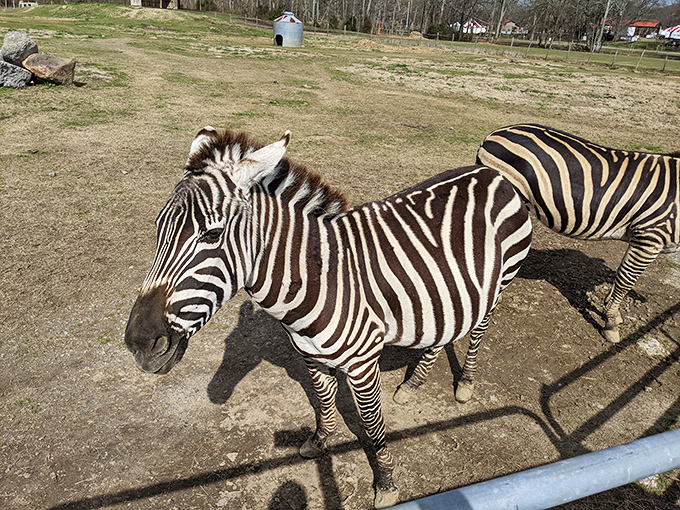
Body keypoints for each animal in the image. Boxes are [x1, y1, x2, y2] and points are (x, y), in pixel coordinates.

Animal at [124, 127, 532, 508]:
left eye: (212, 234)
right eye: (158, 228)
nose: (139, 343)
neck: (318, 280)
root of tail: (491, 173)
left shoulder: (363, 363)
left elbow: (372, 424)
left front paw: (386, 483)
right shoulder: (309, 355)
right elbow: (323, 401)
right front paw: (320, 441)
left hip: (500, 282)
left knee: (479, 330)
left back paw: (465, 384)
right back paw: (413, 384)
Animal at [477, 123, 680, 344]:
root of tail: (493, 134)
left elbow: (620, 276)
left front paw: (612, 312)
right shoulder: (649, 237)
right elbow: (625, 280)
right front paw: (611, 323)